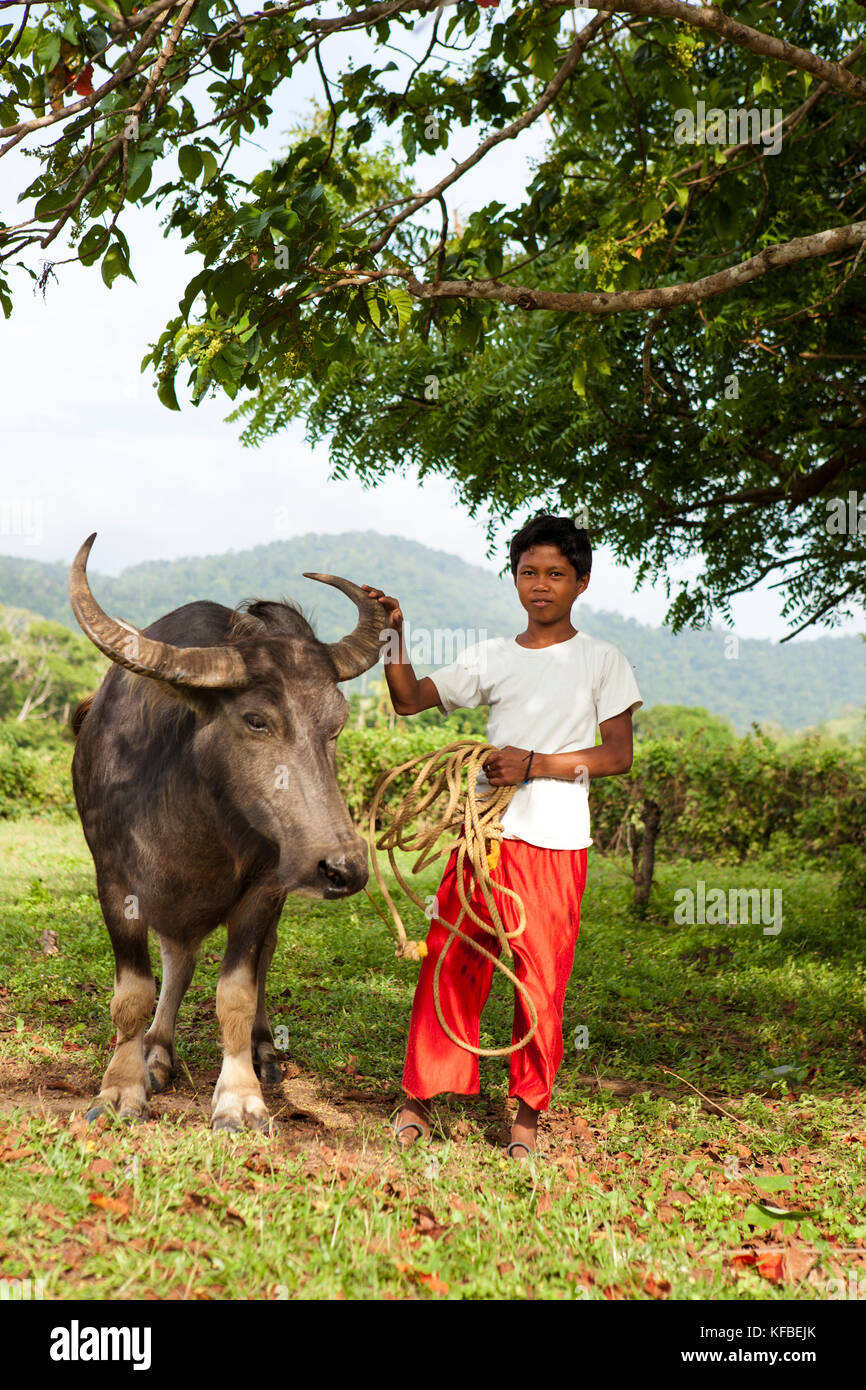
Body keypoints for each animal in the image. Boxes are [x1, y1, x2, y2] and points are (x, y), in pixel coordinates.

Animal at [69, 533, 384, 1132]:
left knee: (258, 960)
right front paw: (121, 1087)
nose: (343, 867)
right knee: (179, 958)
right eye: (256, 719)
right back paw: (156, 1052)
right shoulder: (112, 879)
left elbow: (237, 990)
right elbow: (133, 993)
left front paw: (239, 1096)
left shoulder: (265, 886)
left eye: (336, 723)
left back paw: (261, 1049)